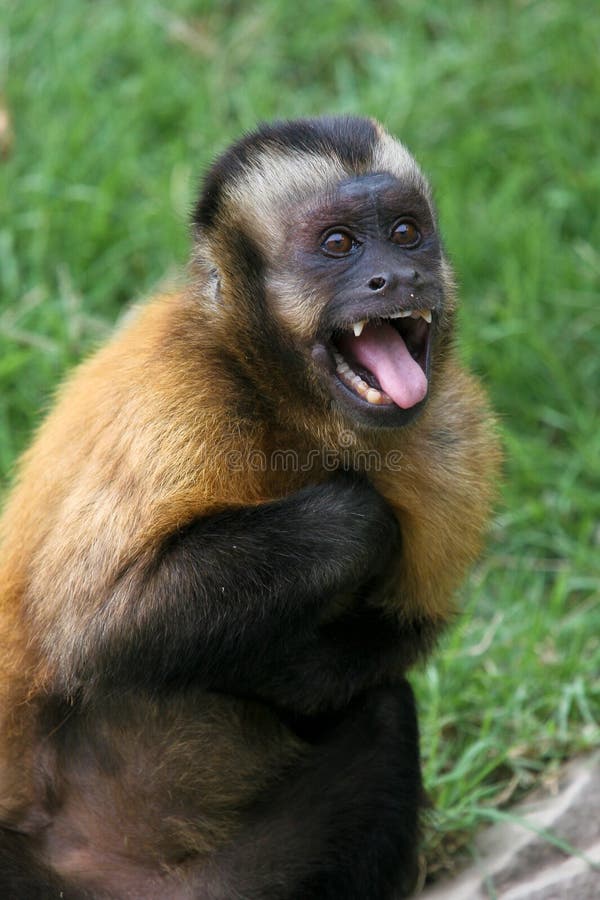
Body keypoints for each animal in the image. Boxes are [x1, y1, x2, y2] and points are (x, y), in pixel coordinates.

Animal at [0, 116, 500, 899]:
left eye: (406, 232)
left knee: (387, 710)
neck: (293, 411)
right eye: (339, 245)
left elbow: (395, 640)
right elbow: (95, 632)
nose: (399, 275)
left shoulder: (455, 443)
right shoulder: (182, 391)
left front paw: (284, 673)